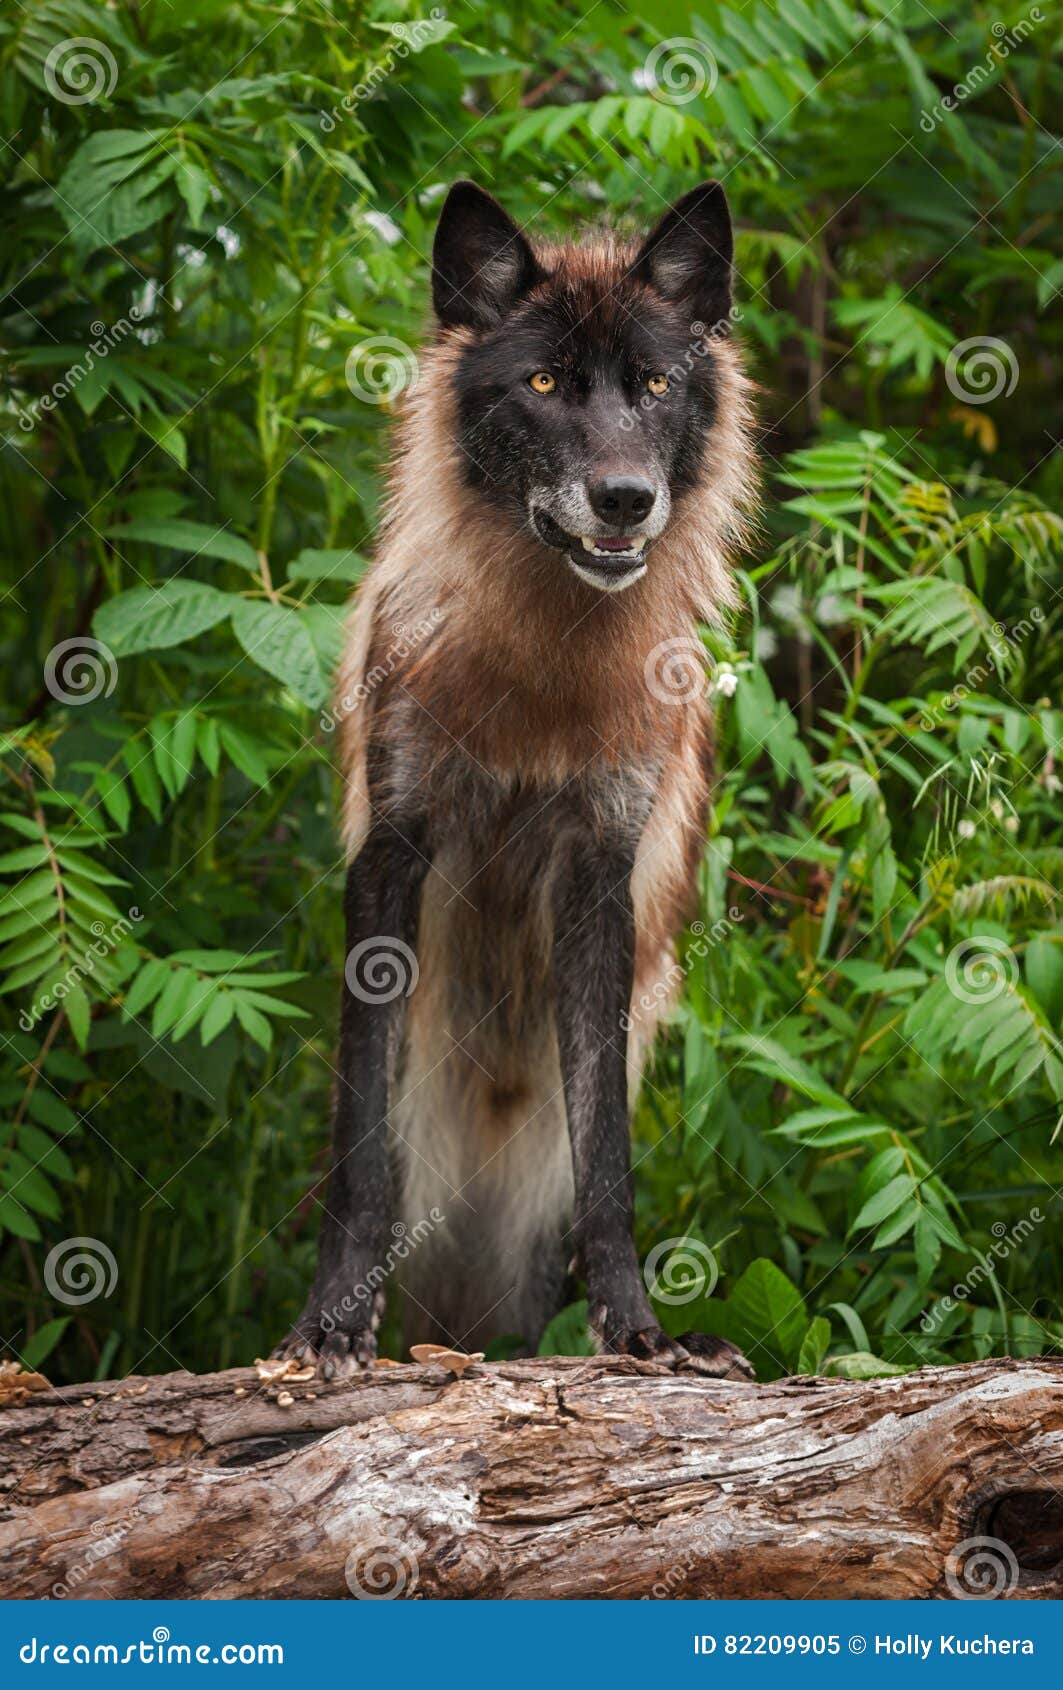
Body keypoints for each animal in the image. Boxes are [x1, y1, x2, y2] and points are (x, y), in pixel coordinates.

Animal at [276, 179, 758, 1380]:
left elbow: (610, 1170)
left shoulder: (598, 877)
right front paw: (327, 1327)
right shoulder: (390, 857)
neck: (540, 679)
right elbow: (358, 1156)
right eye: (542, 384)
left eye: (654, 386)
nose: (624, 500)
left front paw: (639, 1333)